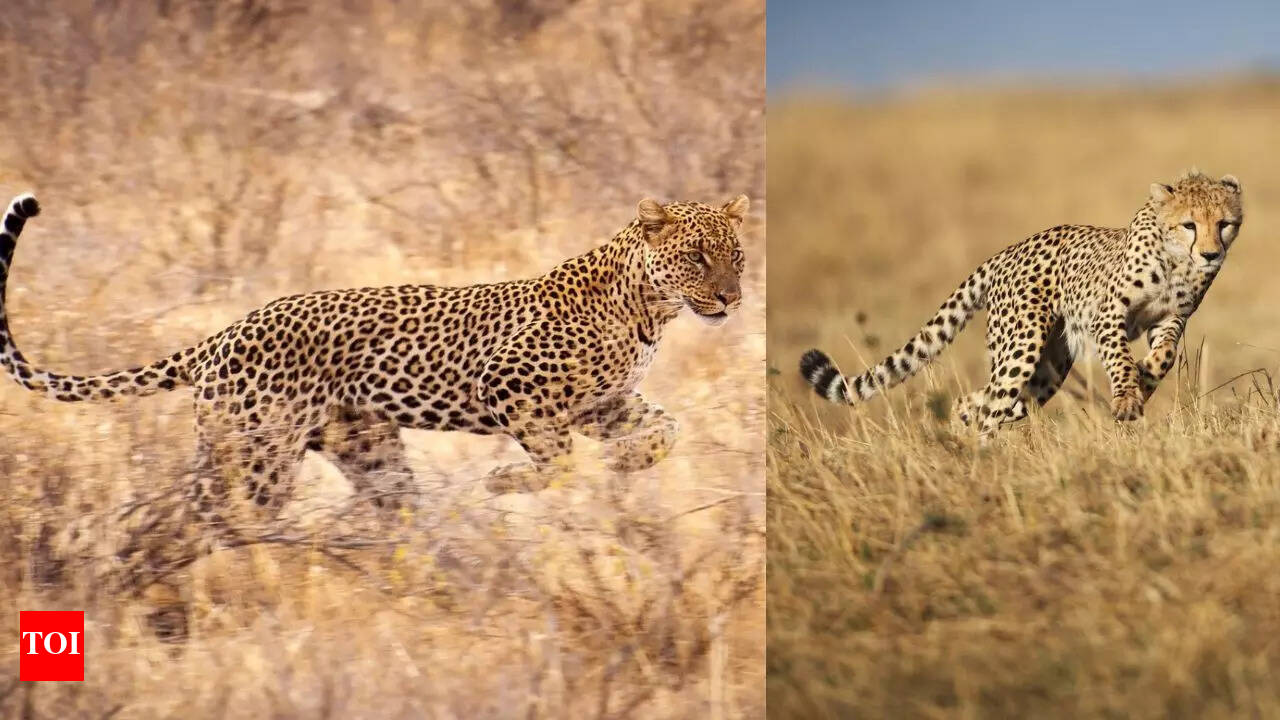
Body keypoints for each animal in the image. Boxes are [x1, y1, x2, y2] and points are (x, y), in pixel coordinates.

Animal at [1, 193, 749, 518]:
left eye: (736, 257)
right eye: (696, 257)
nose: (732, 299)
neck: (649, 310)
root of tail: (224, 332)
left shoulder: (604, 403)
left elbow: (667, 430)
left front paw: (625, 463)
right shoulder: (512, 388)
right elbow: (557, 462)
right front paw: (506, 482)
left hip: (370, 453)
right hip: (254, 459)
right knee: (198, 521)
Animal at [799, 170, 1242, 437]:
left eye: (1224, 224)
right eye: (1189, 225)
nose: (1210, 254)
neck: (1177, 261)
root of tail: (1004, 253)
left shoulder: (1170, 318)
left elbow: (1164, 355)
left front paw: (1143, 381)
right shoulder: (1108, 314)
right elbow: (1118, 357)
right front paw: (1127, 394)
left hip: (1047, 370)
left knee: (975, 403)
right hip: (1023, 345)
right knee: (990, 406)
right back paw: (981, 461)